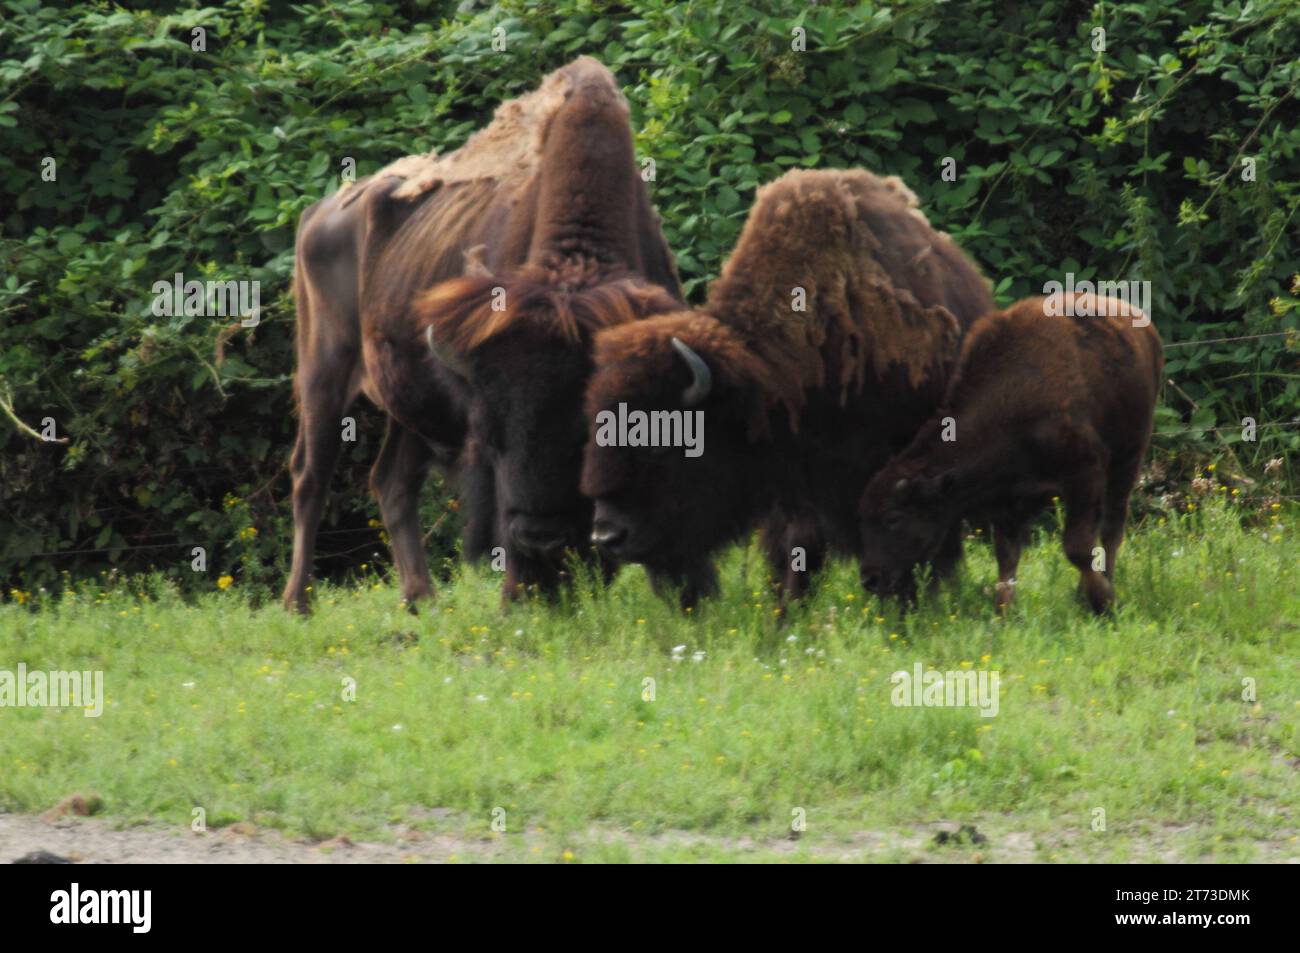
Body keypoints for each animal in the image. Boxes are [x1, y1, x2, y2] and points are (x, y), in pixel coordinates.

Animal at [284, 57, 682, 612]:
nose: (542, 538)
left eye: (589, 433)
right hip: (323, 373)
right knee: (309, 477)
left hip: (407, 401)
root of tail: (319, 215)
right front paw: (514, 597)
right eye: (496, 439)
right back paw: (298, 603)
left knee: (392, 481)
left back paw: (421, 598)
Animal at [858, 293, 1163, 613]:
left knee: (1112, 529)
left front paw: (1102, 599)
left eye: (893, 518)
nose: (869, 578)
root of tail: (1144, 328)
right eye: (863, 517)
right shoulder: (1005, 501)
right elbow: (1007, 556)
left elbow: (1077, 547)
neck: (1010, 401)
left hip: (1128, 459)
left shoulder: (1085, 472)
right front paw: (1002, 612)